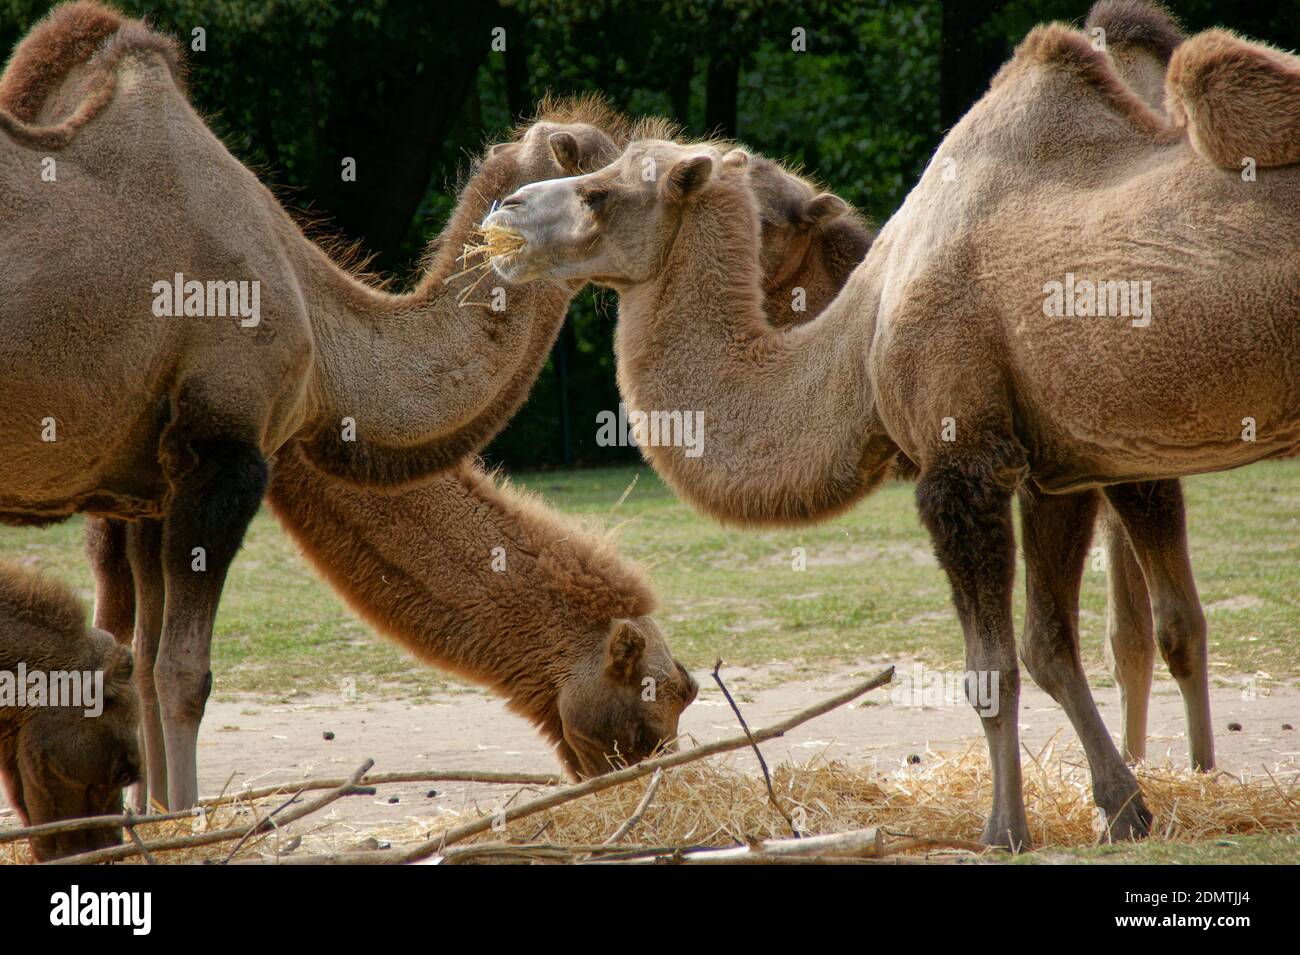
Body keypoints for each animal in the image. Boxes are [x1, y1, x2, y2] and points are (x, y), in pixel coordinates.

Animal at [0, 3, 622, 808]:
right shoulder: (224, 449)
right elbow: (184, 674)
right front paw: (188, 816)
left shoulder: (149, 480)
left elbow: (141, 658)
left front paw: (161, 819)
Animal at [481, 8, 1299, 848]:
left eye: (601, 192)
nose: (504, 210)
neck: (864, 331)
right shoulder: (1054, 459)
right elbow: (1049, 646)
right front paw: (1125, 806)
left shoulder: (961, 462)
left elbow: (992, 665)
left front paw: (1004, 828)